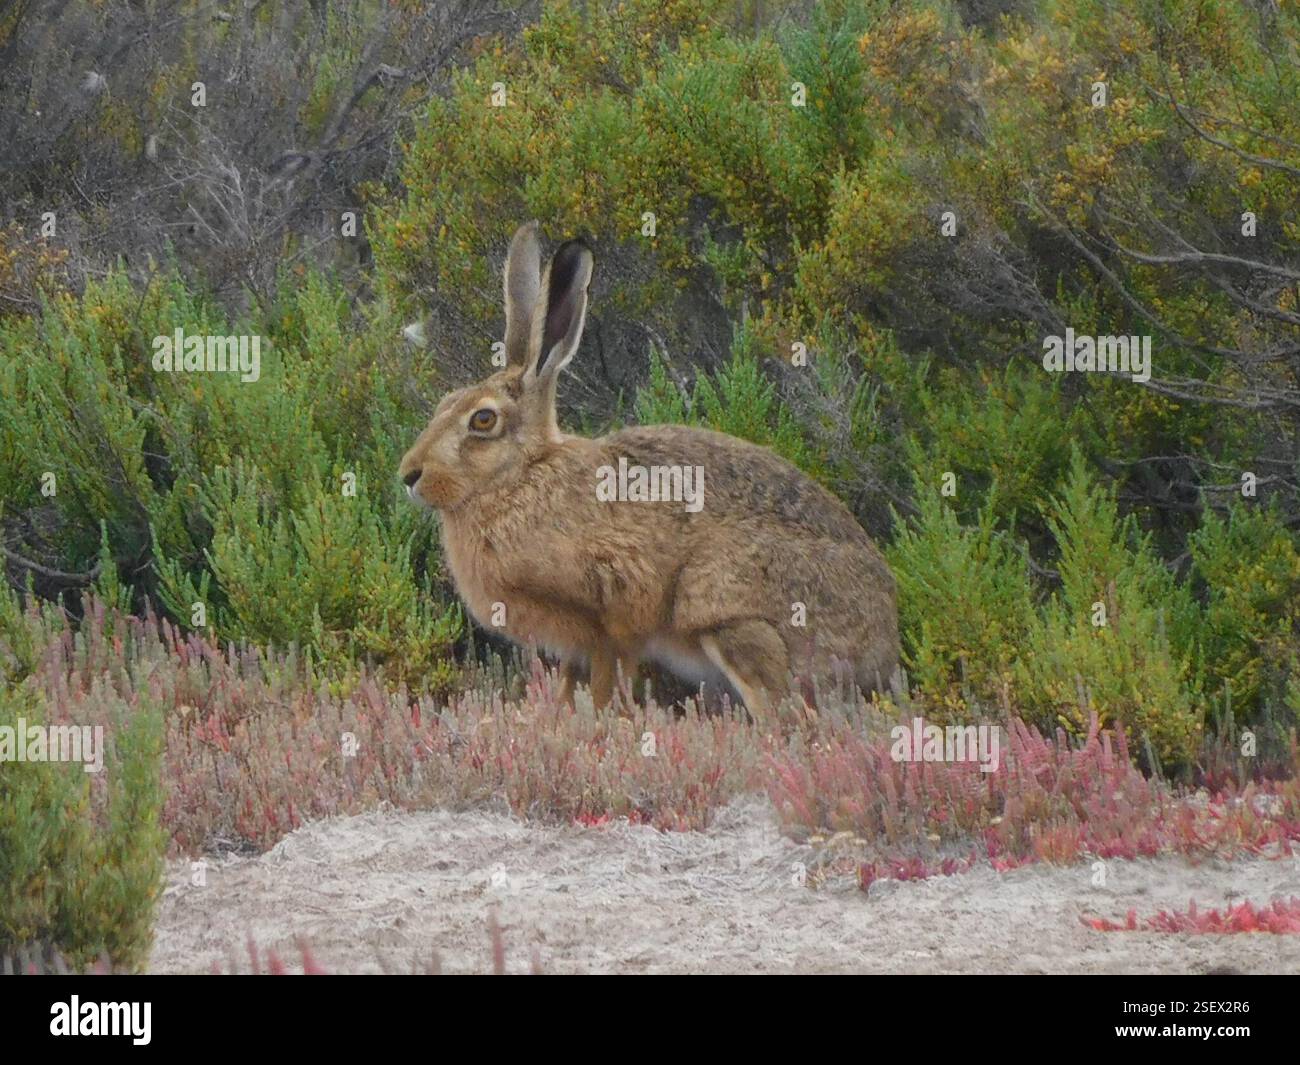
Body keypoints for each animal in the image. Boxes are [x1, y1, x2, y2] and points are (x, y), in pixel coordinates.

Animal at [399, 222, 900, 725]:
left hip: (728, 615)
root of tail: (883, 655)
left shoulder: (605, 620)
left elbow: (605, 686)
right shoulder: (576, 647)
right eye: (445, 403)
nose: (409, 474)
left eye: (483, 420)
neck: (522, 477)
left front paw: (599, 726)